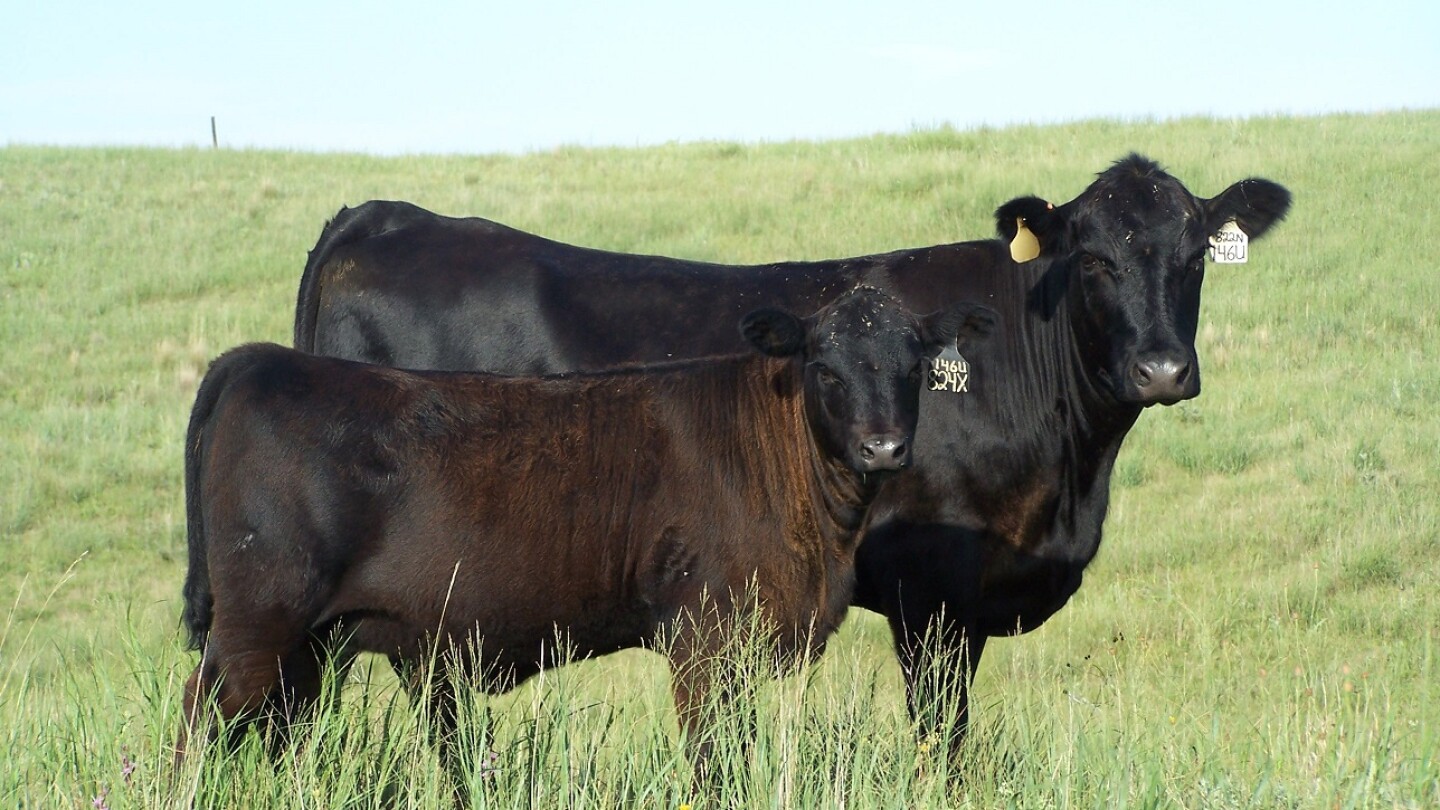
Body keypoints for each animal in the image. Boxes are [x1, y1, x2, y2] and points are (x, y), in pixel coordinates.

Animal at [179, 286, 997, 782]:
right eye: (825, 367)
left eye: (913, 367)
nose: (883, 447)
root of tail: (266, 361)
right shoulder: (705, 641)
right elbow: (714, 764)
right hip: (258, 628)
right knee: (198, 722)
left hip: (307, 647)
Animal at [293, 154, 1292, 760]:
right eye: (1094, 260)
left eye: (1196, 254)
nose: (1161, 368)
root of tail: (378, 218)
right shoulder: (933, 597)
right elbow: (942, 739)